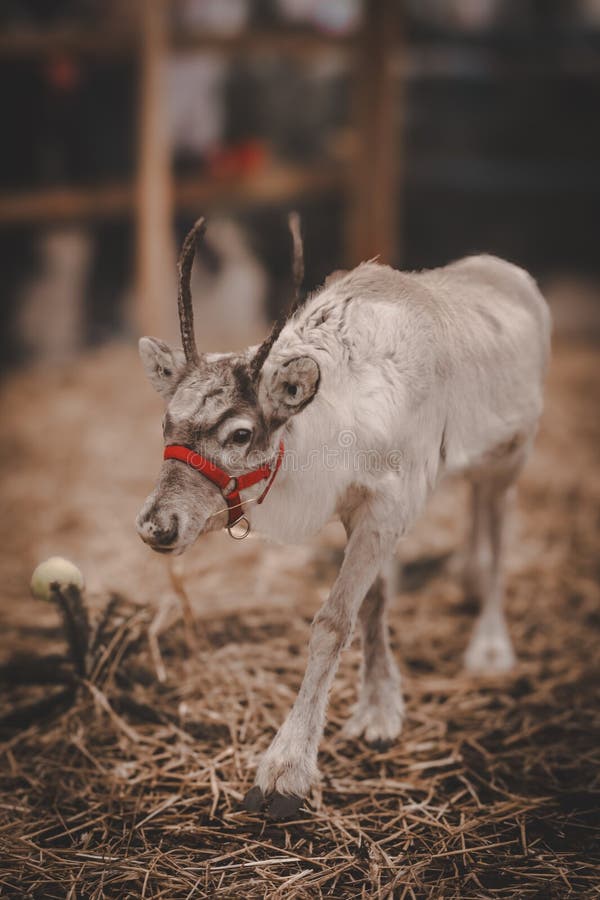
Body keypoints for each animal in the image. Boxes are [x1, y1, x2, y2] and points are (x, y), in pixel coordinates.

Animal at [136, 215, 551, 819]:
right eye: (166, 423)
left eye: (240, 433)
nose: (157, 524)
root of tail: (514, 274)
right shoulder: (358, 509)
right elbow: (375, 601)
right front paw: (379, 709)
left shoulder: (388, 505)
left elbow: (334, 621)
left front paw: (285, 772)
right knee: (476, 499)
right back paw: (467, 579)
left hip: (515, 453)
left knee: (499, 530)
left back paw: (491, 645)